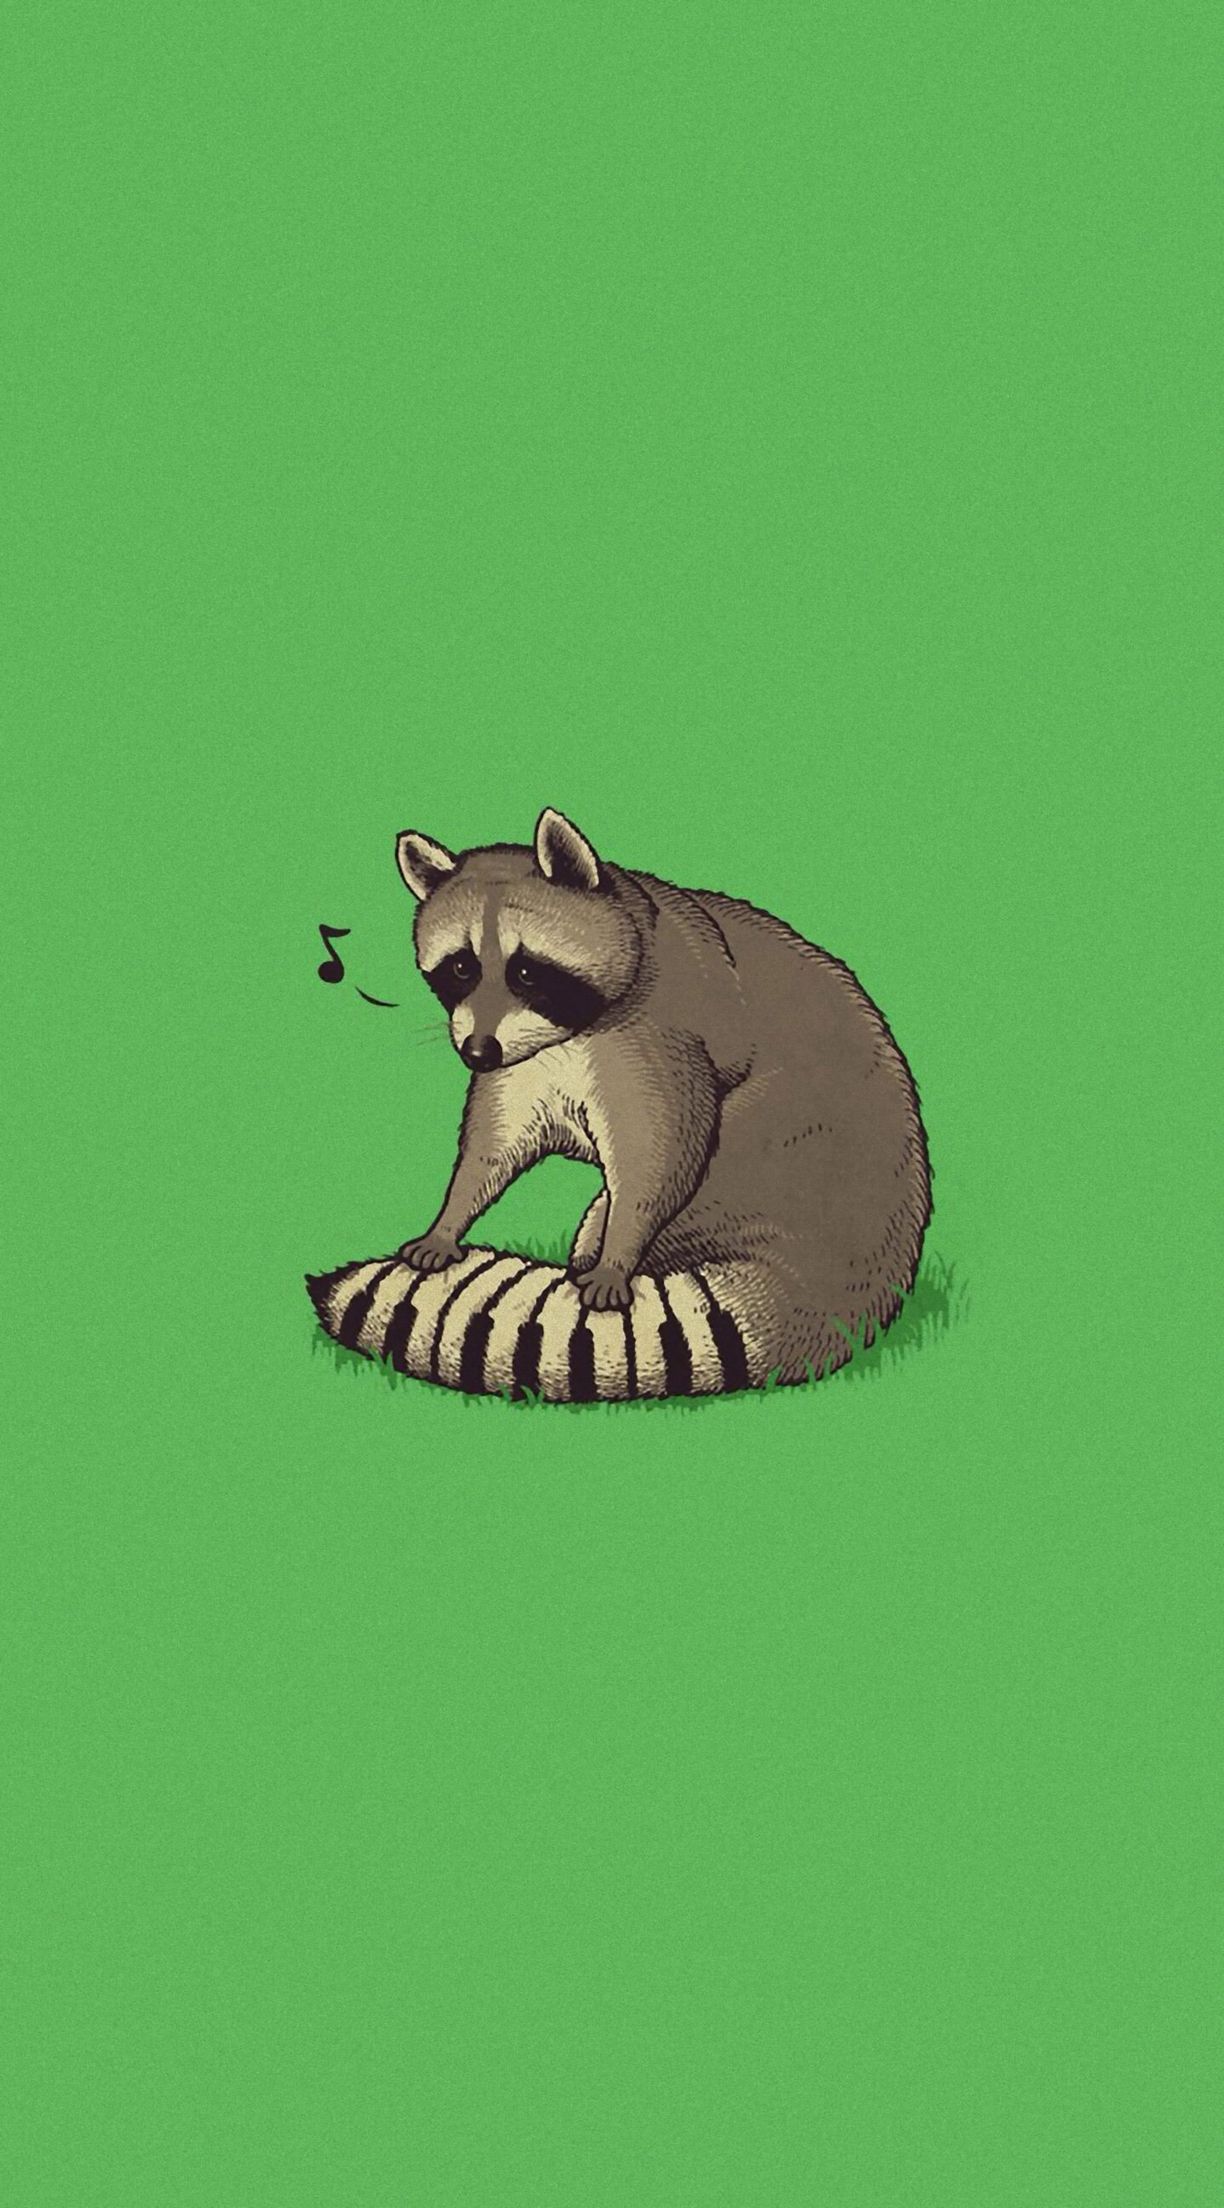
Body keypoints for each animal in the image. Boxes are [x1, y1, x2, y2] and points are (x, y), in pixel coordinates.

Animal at [306, 808, 932, 1402]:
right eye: (461, 967)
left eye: (526, 971)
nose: (476, 1051)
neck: (566, 1033)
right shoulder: (523, 1062)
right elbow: (494, 1145)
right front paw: (449, 1219)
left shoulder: (663, 1037)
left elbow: (657, 1155)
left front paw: (619, 1256)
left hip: (756, 1170)